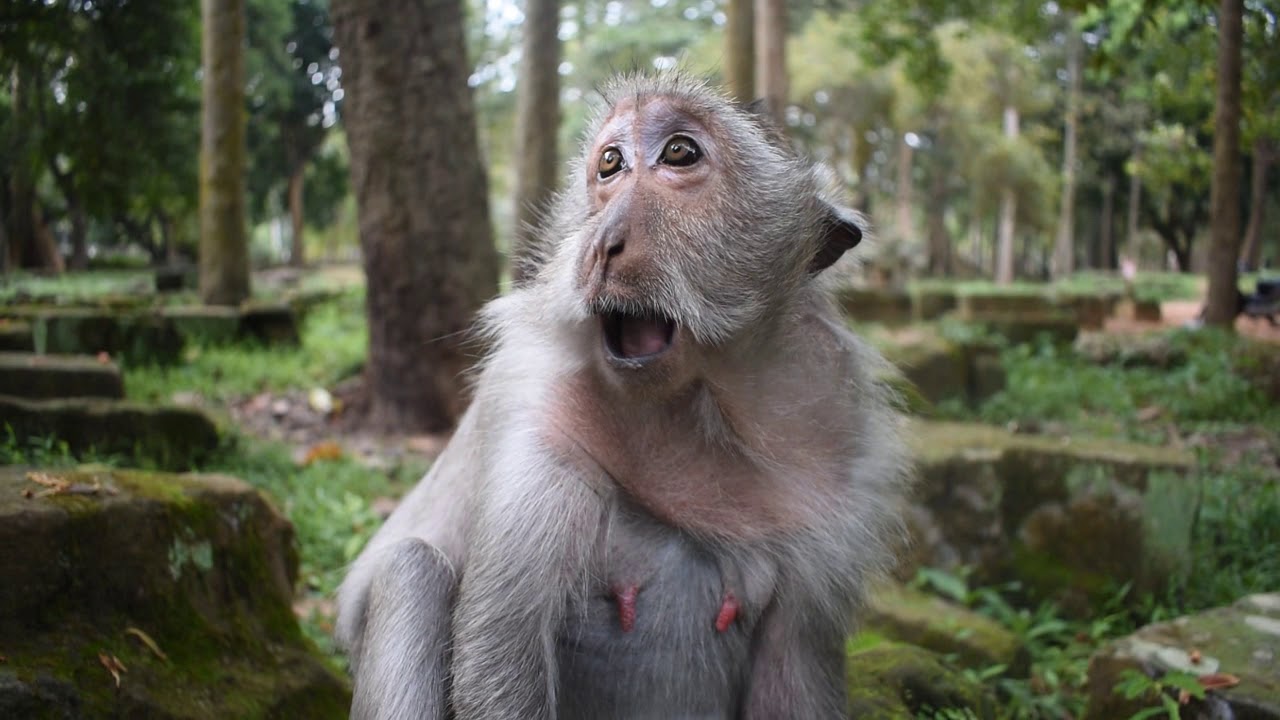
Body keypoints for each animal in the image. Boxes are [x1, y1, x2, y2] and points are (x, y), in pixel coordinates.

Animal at [334, 72, 911, 720]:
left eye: (680, 153)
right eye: (610, 164)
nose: (603, 242)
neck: (691, 404)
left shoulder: (839, 461)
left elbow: (794, 672)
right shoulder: (540, 409)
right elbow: (500, 654)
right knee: (411, 570)